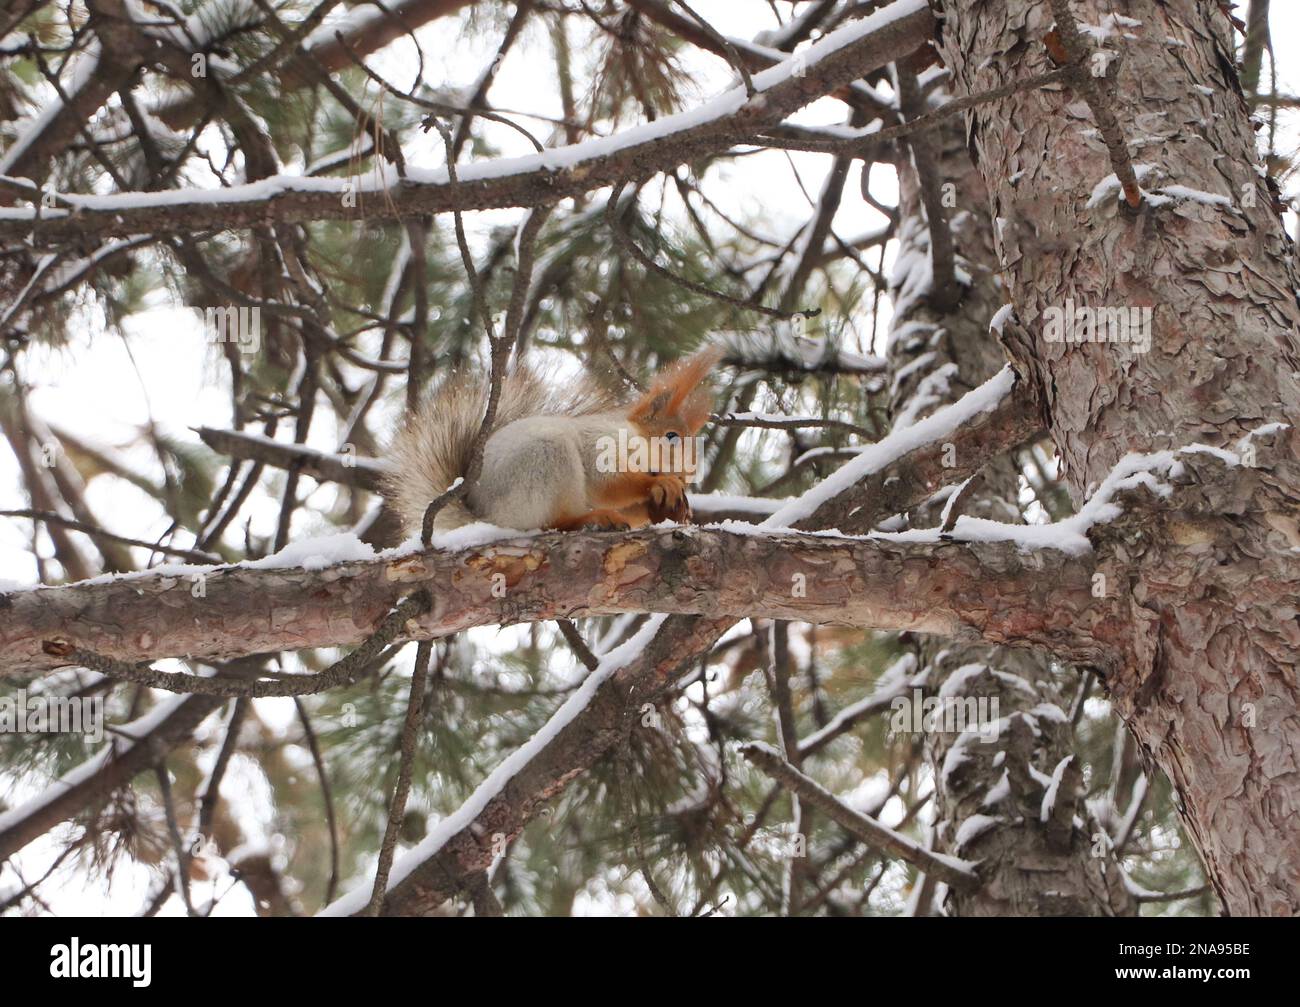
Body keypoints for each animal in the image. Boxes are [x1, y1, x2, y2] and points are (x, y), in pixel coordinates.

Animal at [388, 347, 721, 536]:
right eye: (671, 436)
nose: (686, 476)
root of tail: (487, 517)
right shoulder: (598, 443)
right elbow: (607, 484)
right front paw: (658, 484)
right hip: (547, 457)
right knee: (554, 522)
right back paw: (592, 519)